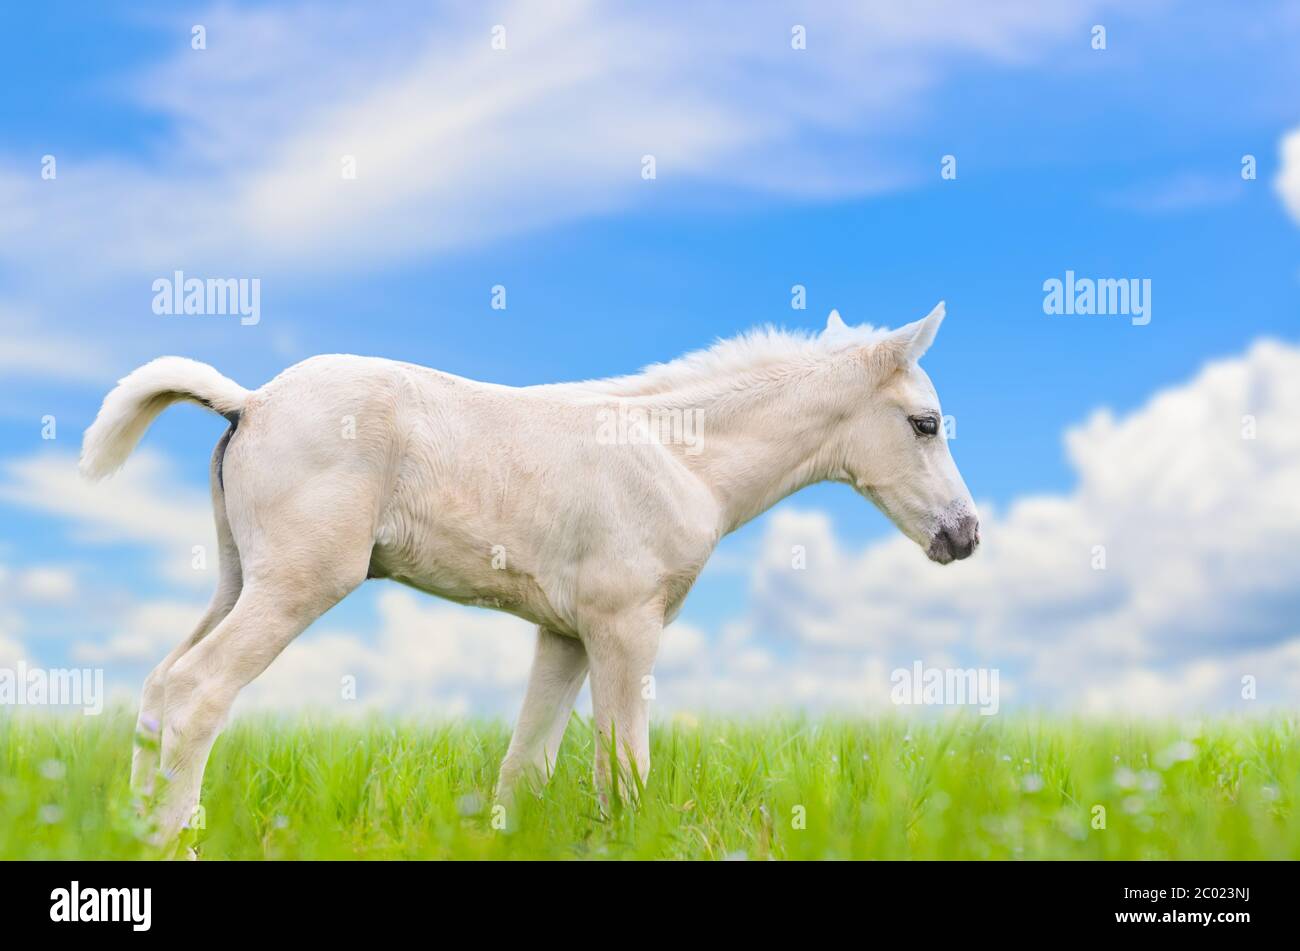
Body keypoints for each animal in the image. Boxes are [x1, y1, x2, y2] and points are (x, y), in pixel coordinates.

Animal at [80, 301, 978, 843]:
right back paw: (172, 838)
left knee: (159, 689)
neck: (677, 454)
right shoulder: (625, 627)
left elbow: (525, 767)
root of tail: (253, 400)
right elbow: (624, 768)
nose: (963, 535)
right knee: (198, 690)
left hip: (238, 577)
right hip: (298, 584)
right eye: (925, 424)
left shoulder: (564, 634)